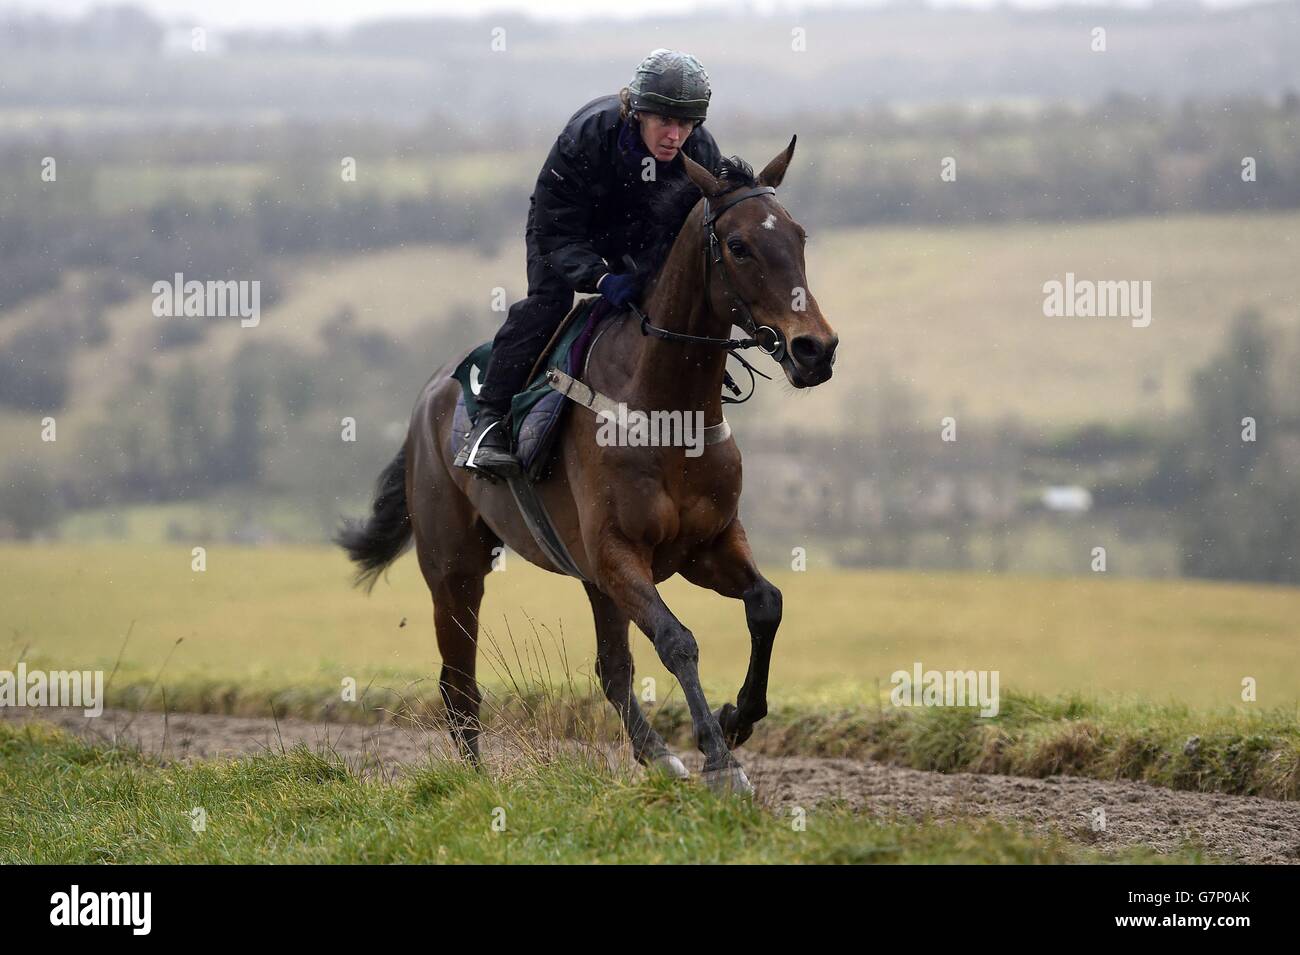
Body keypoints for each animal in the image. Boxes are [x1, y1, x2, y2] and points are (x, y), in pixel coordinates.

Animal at [336, 136, 838, 794]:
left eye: (799, 236)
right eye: (738, 245)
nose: (816, 349)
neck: (665, 405)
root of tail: (428, 397)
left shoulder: (705, 545)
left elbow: (766, 604)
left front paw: (736, 719)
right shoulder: (620, 551)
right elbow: (677, 641)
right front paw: (720, 762)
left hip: (588, 578)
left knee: (612, 669)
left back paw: (659, 755)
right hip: (453, 566)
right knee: (458, 681)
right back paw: (476, 781)